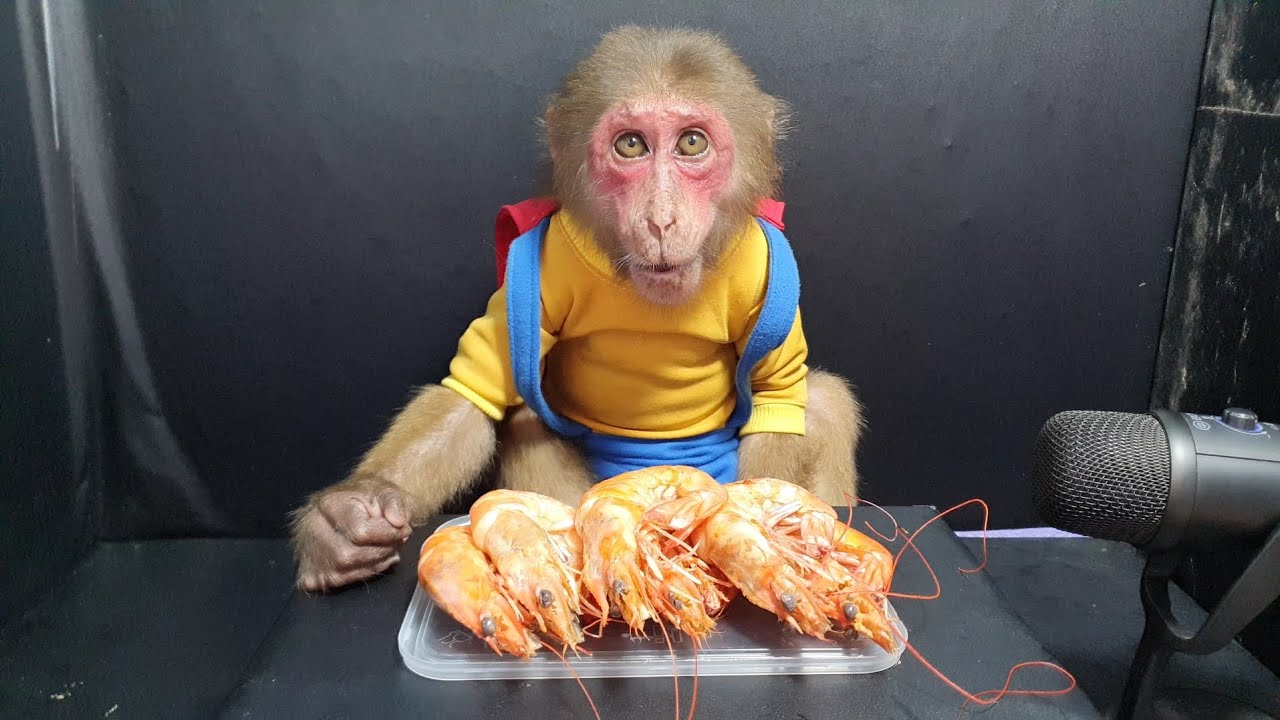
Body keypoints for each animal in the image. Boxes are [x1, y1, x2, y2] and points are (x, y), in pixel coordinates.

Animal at [290, 26, 866, 592]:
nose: (661, 220)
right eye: (631, 145)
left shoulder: (759, 267)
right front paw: (346, 517)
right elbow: (473, 394)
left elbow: (777, 397)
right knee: (526, 421)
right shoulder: (545, 268)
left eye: (691, 143)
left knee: (823, 400)